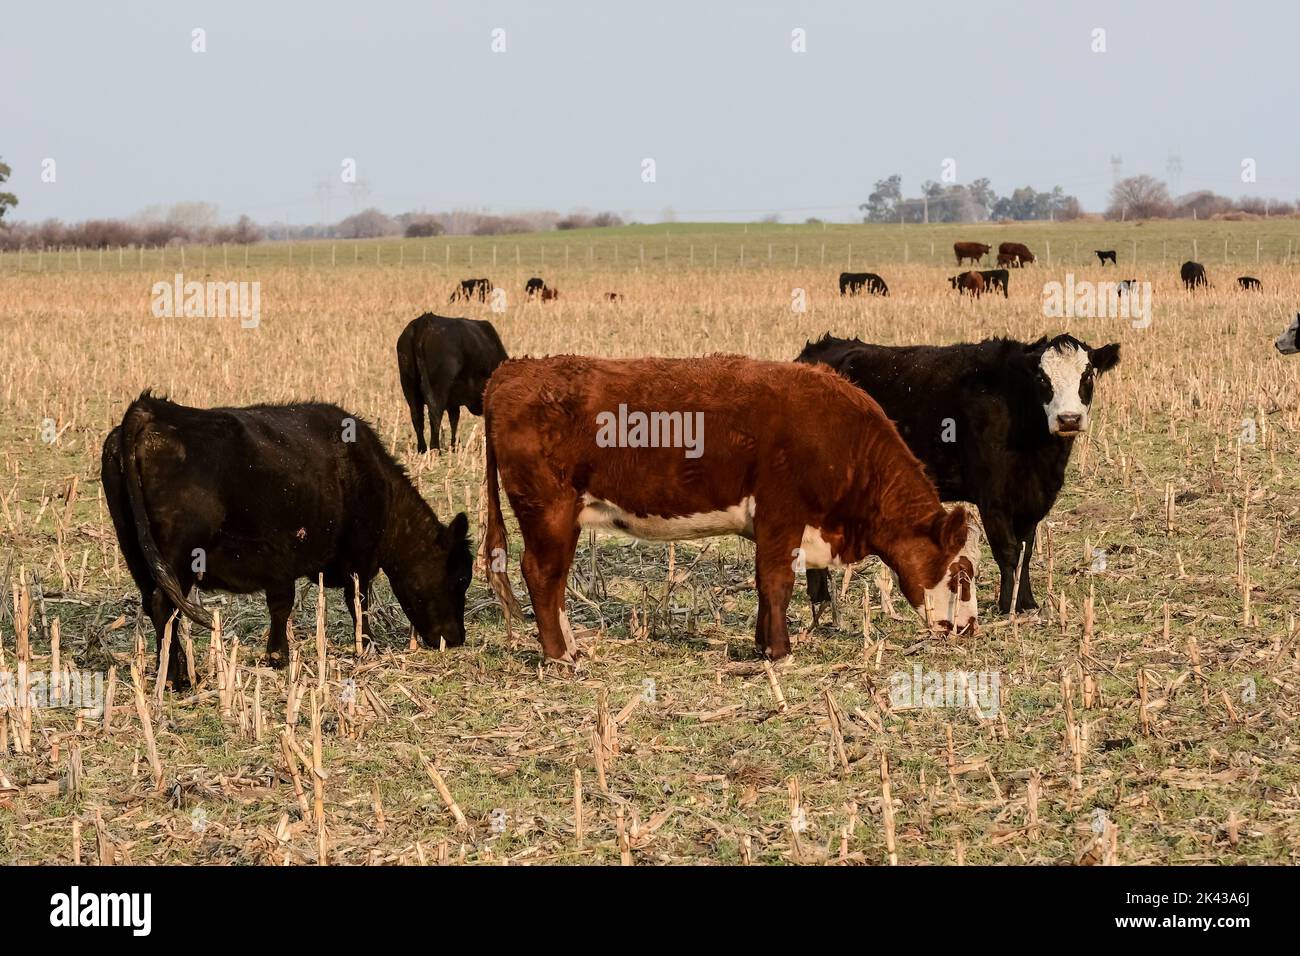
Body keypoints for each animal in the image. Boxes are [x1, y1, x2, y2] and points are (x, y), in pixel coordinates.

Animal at [101, 392, 473, 688]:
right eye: (460, 578)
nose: (456, 638)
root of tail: (150, 409)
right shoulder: (356, 559)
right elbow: (356, 603)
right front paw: (361, 646)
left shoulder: (283, 565)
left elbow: (282, 606)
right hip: (179, 554)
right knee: (165, 607)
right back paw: (175, 679)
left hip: (138, 553)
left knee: (155, 606)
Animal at [397, 313, 508, 453]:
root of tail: (425, 322)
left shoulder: (453, 402)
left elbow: (454, 419)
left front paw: (454, 446)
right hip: (437, 389)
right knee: (434, 415)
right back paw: (435, 449)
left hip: (409, 386)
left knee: (417, 417)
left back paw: (422, 448)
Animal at [482, 356, 979, 662]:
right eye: (960, 577)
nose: (970, 629)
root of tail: (513, 370)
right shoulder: (782, 514)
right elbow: (777, 582)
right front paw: (780, 652)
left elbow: (765, 585)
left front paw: (763, 645)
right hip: (548, 511)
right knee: (542, 574)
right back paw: (560, 655)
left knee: (553, 581)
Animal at [796, 332, 1120, 615]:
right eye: (1042, 379)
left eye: (1087, 376)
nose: (1069, 419)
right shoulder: (993, 498)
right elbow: (1007, 551)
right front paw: (1008, 606)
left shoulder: (1033, 498)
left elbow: (1026, 552)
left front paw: (1027, 602)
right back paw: (820, 598)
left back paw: (820, 600)